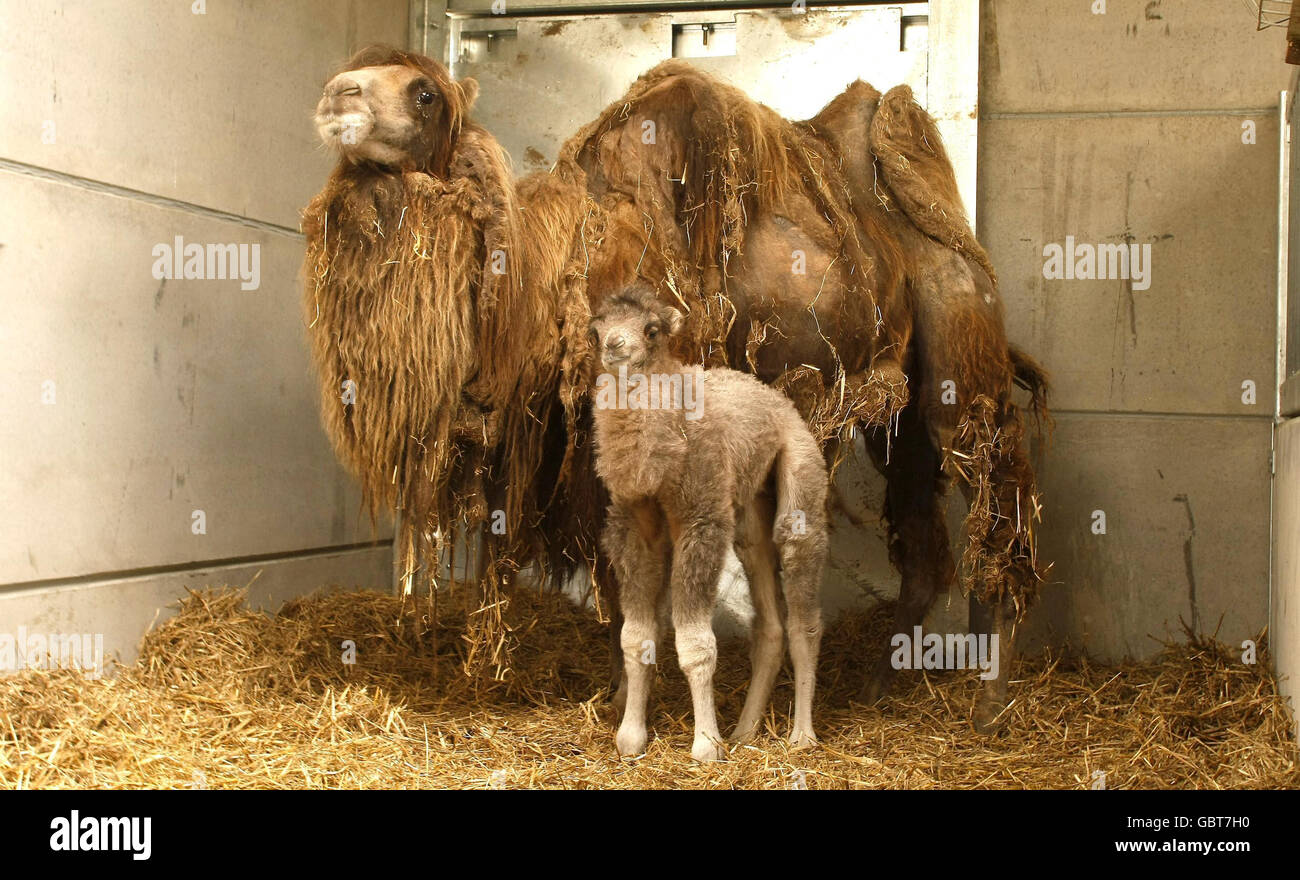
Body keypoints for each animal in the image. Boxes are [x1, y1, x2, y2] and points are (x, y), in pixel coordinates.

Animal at [591, 285, 827, 761]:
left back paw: (801, 736)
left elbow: (697, 643)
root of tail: (781, 404)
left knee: (803, 609)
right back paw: (745, 730)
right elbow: (636, 636)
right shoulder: (633, 525)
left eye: (652, 330)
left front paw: (705, 745)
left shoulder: (701, 521)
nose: (614, 346)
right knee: (767, 611)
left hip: (800, 469)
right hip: (750, 506)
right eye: (596, 329)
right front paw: (630, 737)